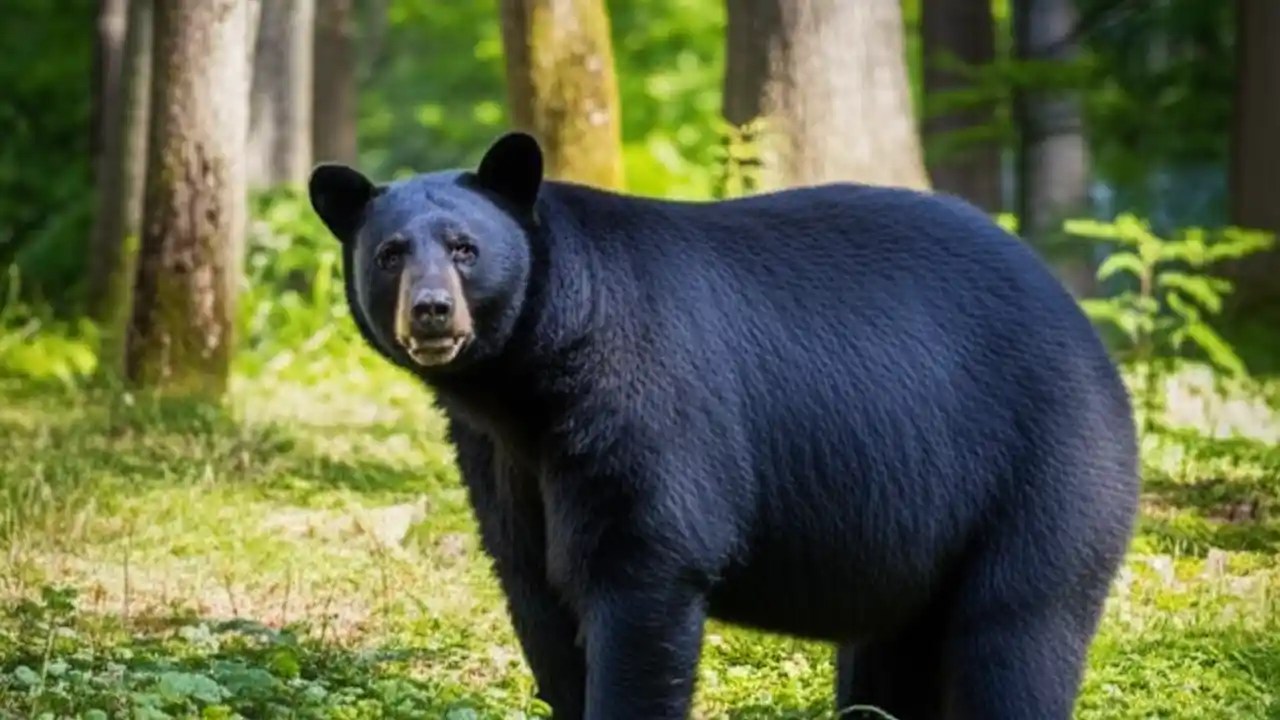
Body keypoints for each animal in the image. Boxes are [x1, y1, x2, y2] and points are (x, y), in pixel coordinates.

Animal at [307, 130, 1140, 720]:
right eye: (388, 254)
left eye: (465, 249)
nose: (431, 312)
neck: (528, 377)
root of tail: (1094, 343)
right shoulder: (502, 456)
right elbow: (533, 585)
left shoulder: (640, 396)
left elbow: (644, 561)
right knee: (890, 658)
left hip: (1042, 468)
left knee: (1016, 634)